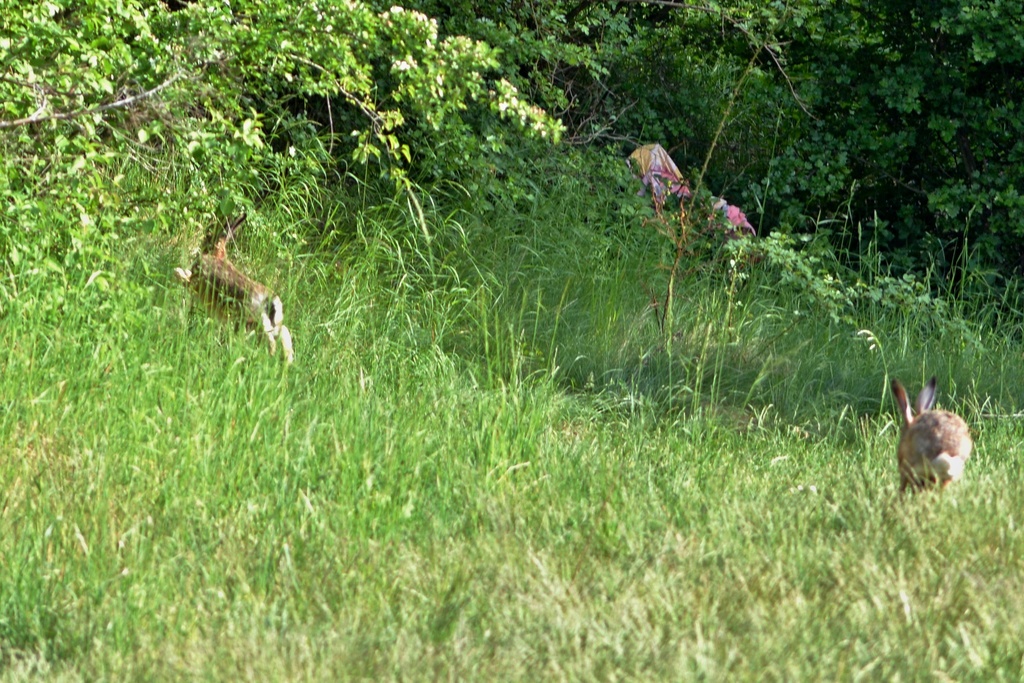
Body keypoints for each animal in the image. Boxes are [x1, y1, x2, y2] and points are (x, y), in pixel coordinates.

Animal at [174, 214, 294, 364]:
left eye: (208, 239)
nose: (200, 249)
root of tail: (270, 300)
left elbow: (187, 279)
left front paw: (178, 272)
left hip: (250, 318)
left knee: (270, 339)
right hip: (266, 323)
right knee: (284, 333)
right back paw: (286, 361)